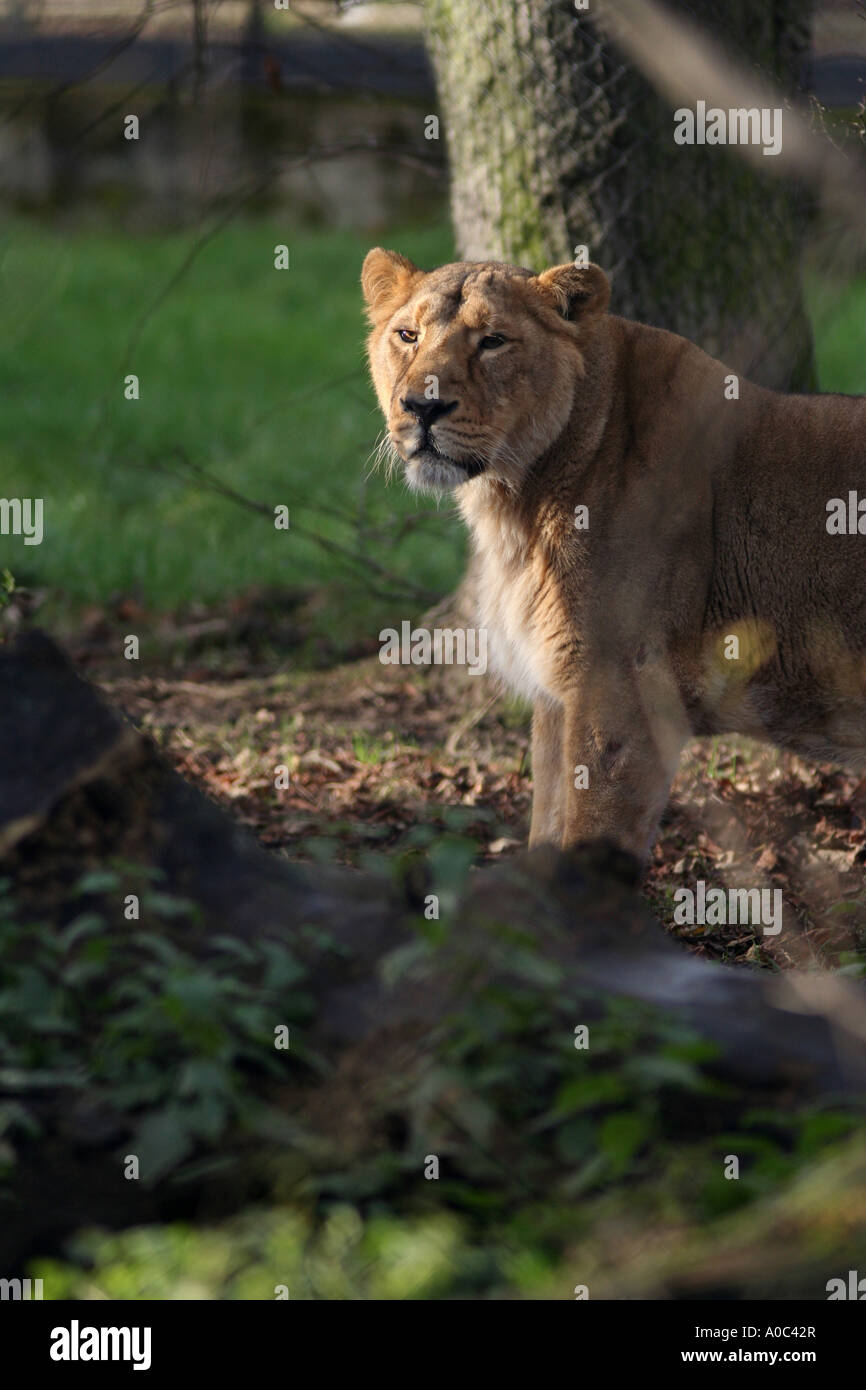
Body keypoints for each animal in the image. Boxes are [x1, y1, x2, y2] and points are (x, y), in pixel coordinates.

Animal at [362, 247, 866, 861]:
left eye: (493, 341)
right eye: (407, 335)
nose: (421, 405)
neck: (513, 505)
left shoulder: (622, 689)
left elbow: (589, 839)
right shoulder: (557, 694)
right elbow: (546, 825)